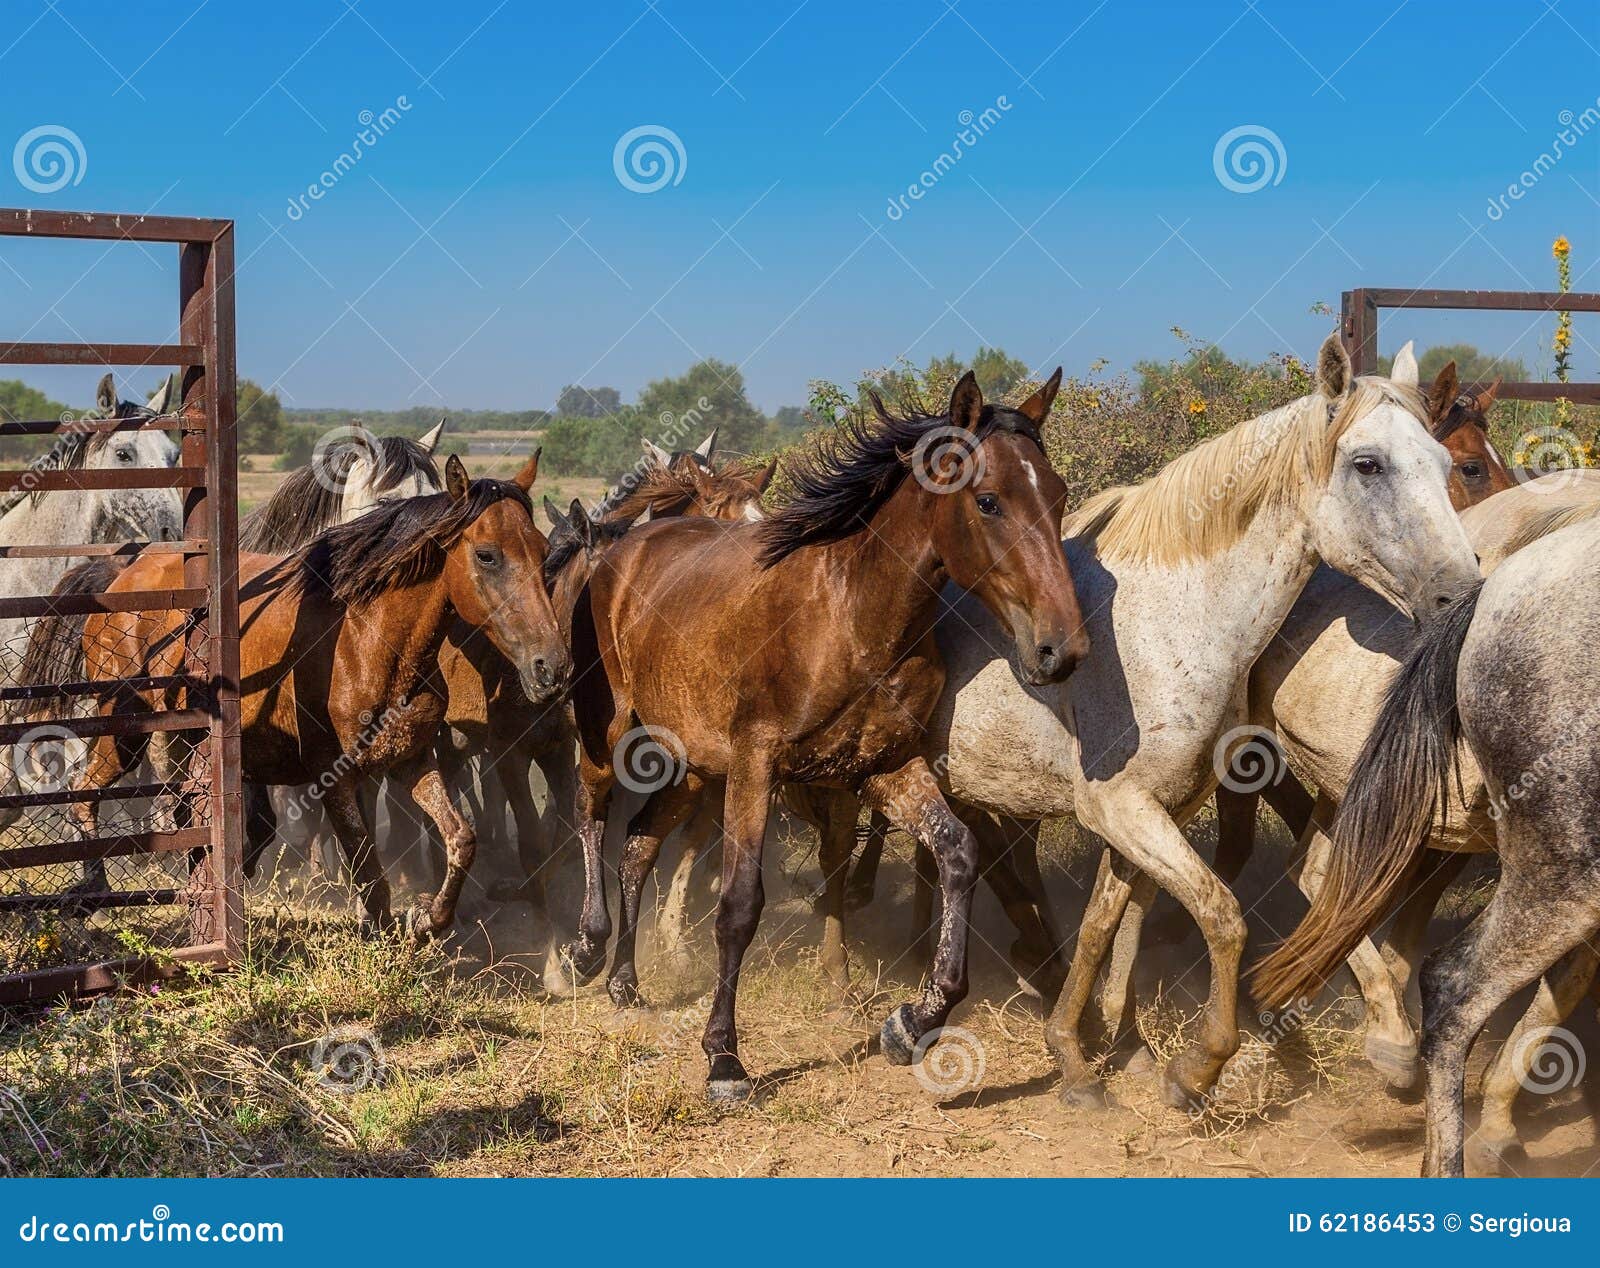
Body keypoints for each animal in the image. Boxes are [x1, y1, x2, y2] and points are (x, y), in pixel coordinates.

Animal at [68, 453, 567, 939]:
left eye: (544, 553)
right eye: (486, 555)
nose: (552, 666)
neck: (366, 640)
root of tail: (123, 577)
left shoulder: (411, 761)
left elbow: (461, 838)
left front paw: (428, 918)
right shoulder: (335, 777)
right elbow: (369, 872)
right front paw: (385, 932)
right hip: (127, 732)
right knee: (84, 790)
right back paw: (92, 892)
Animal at [562, 371, 1087, 1100]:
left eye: (1059, 495)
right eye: (988, 501)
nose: (1060, 649)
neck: (849, 615)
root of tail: (618, 550)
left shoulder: (884, 768)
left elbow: (957, 852)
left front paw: (914, 1018)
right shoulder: (756, 764)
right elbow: (739, 905)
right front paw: (723, 1058)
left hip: (689, 763)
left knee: (639, 846)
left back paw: (625, 982)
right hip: (609, 734)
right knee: (590, 814)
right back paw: (586, 949)